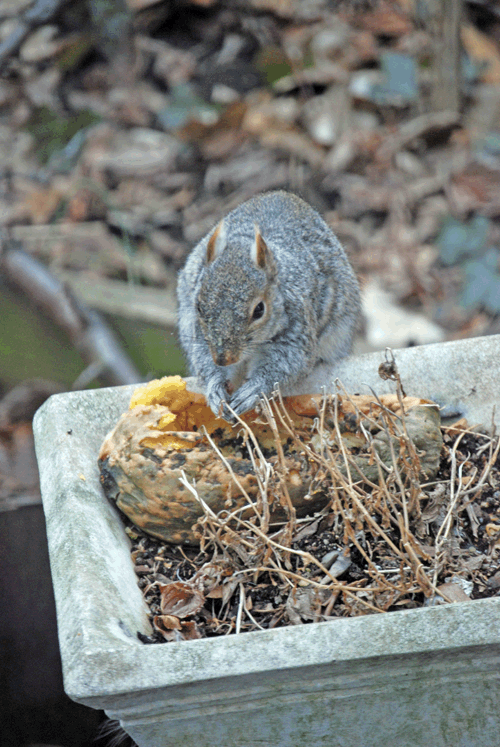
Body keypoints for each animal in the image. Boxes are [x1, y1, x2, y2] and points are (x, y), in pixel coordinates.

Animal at [177, 190, 361, 419]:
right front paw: (215, 388)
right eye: (199, 307)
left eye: (259, 310)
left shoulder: (297, 332)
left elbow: (286, 366)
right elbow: (204, 360)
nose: (223, 359)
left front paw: (253, 390)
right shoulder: (200, 336)